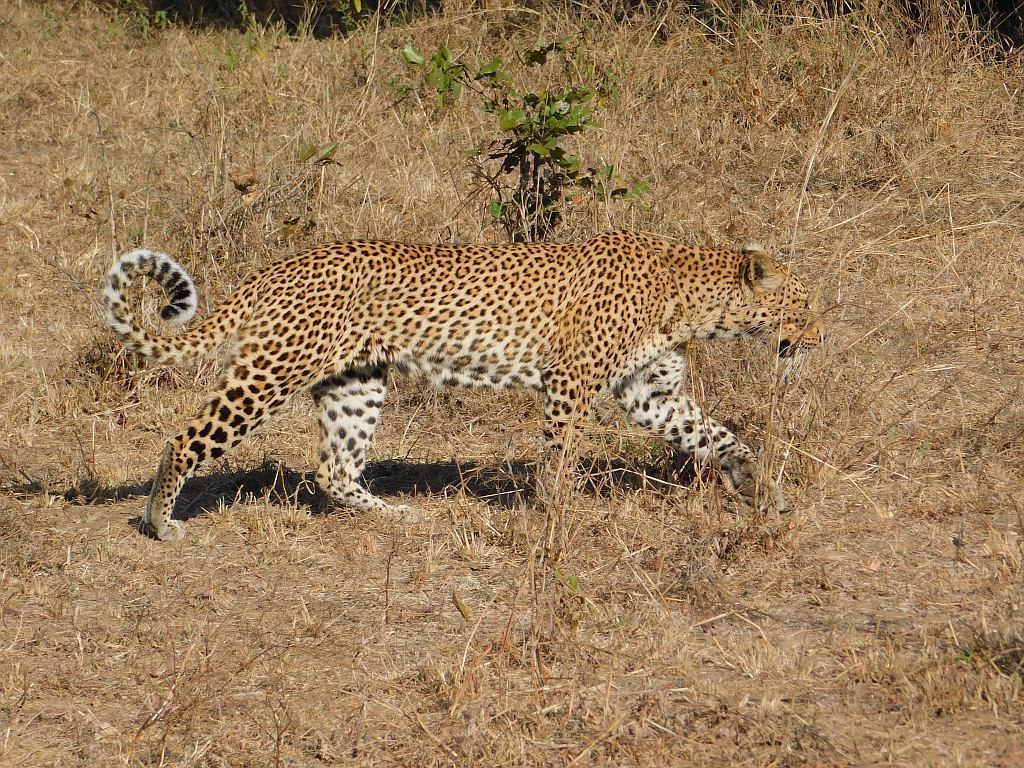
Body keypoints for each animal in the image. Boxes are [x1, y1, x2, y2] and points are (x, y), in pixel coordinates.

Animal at [102, 230, 823, 542]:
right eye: (804, 304)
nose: (819, 336)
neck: (693, 300)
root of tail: (282, 265)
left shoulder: (652, 395)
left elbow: (720, 436)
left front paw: (761, 490)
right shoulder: (570, 381)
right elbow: (558, 456)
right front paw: (556, 517)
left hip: (356, 382)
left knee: (335, 469)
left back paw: (398, 517)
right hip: (273, 371)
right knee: (187, 438)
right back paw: (159, 521)